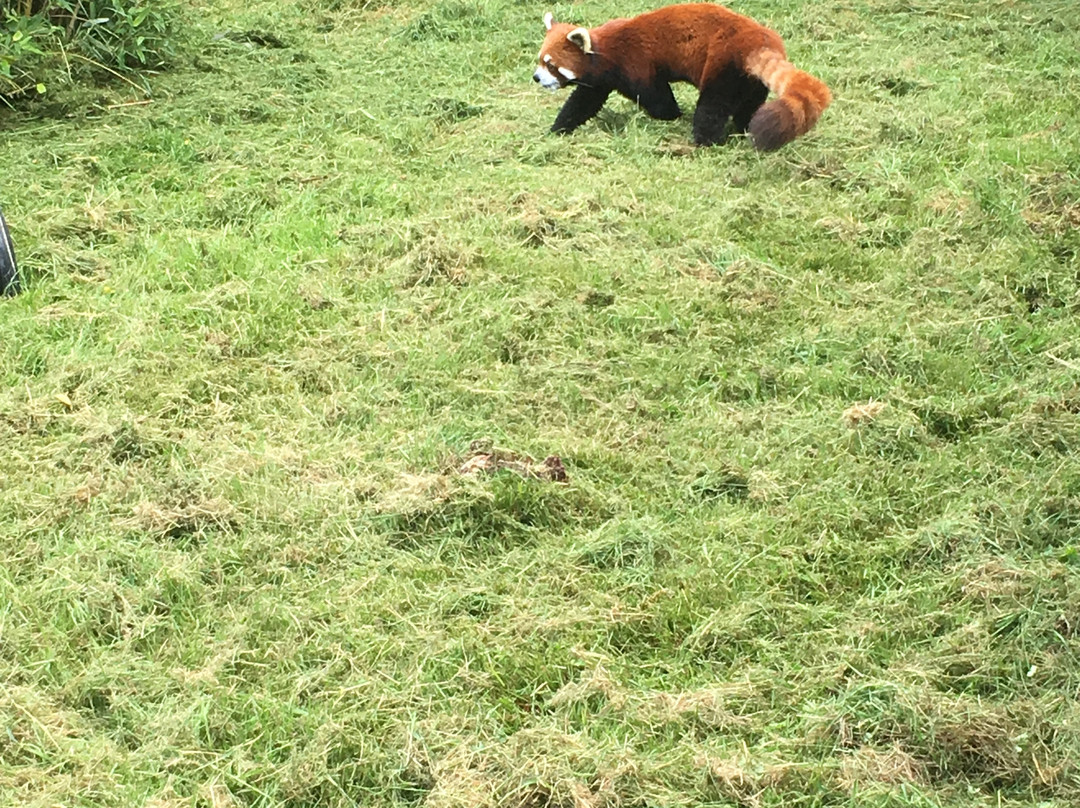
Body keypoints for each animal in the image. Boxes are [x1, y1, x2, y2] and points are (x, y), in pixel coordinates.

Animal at [535, 3, 829, 151]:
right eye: (539, 60)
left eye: (551, 65)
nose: (536, 78)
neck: (605, 51)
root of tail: (760, 40)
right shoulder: (600, 79)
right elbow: (582, 103)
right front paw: (558, 128)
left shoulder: (636, 64)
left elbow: (657, 97)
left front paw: (672, 116)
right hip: (749, 79)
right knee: (749, 105)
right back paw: (742, 129)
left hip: (723, 63)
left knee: (712, 105)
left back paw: (705, 141)